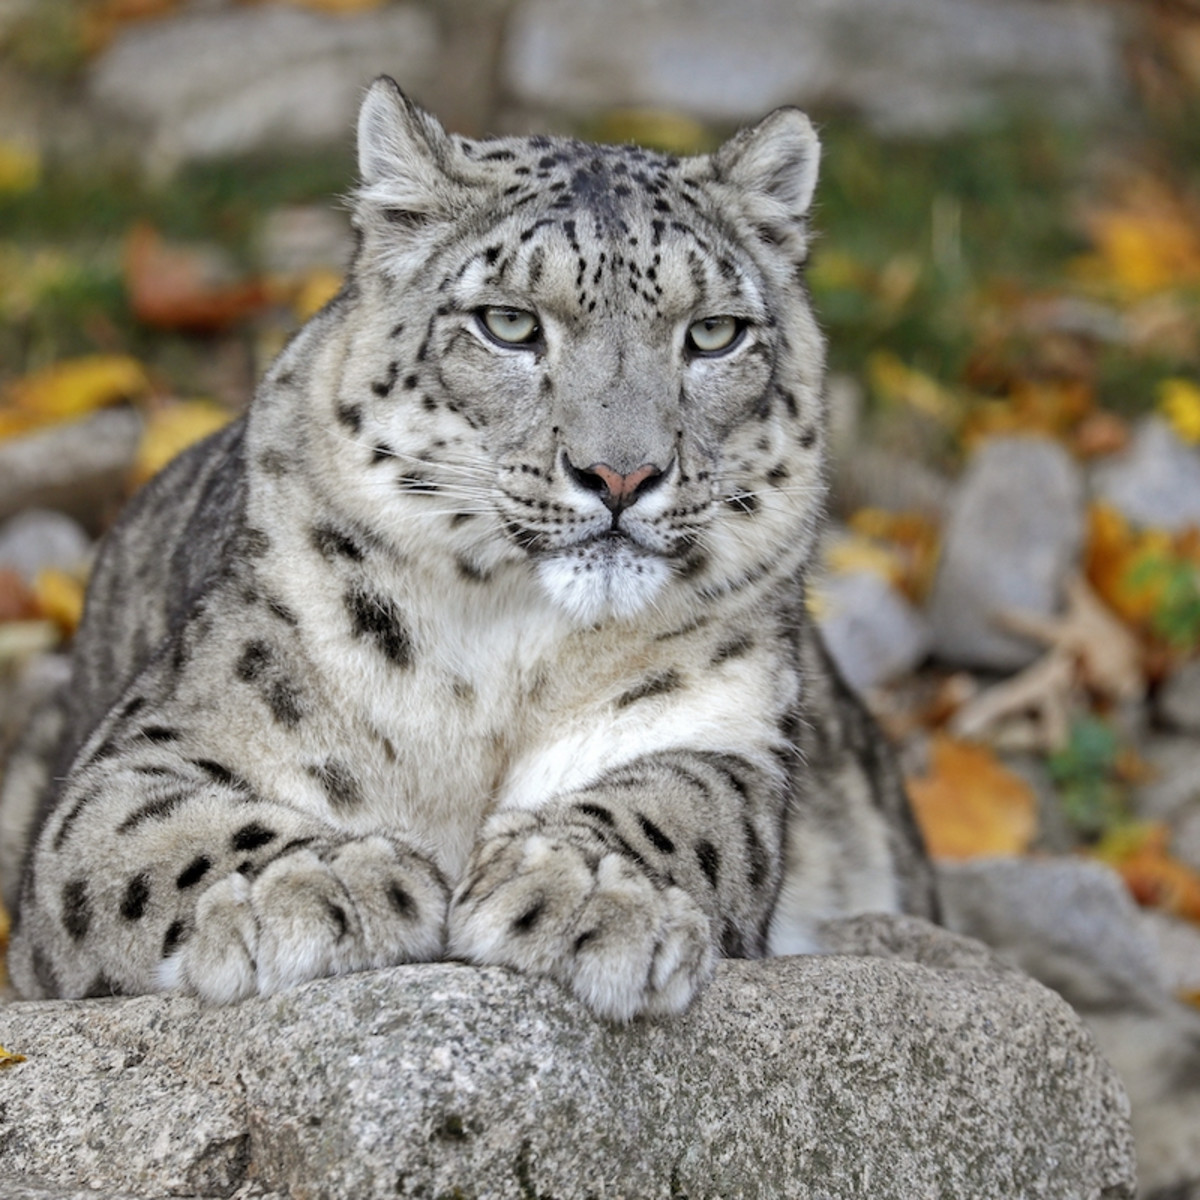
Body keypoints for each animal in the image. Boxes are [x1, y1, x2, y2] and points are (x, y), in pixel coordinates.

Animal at [0, 78, 938, 1021]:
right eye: (509, 324)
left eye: (713, 333)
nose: (622, 474)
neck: (503, 671)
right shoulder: (149, 751)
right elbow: (149, 832)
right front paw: (324, 882)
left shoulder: (725, 729)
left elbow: (685, 803)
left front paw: (586, 887)